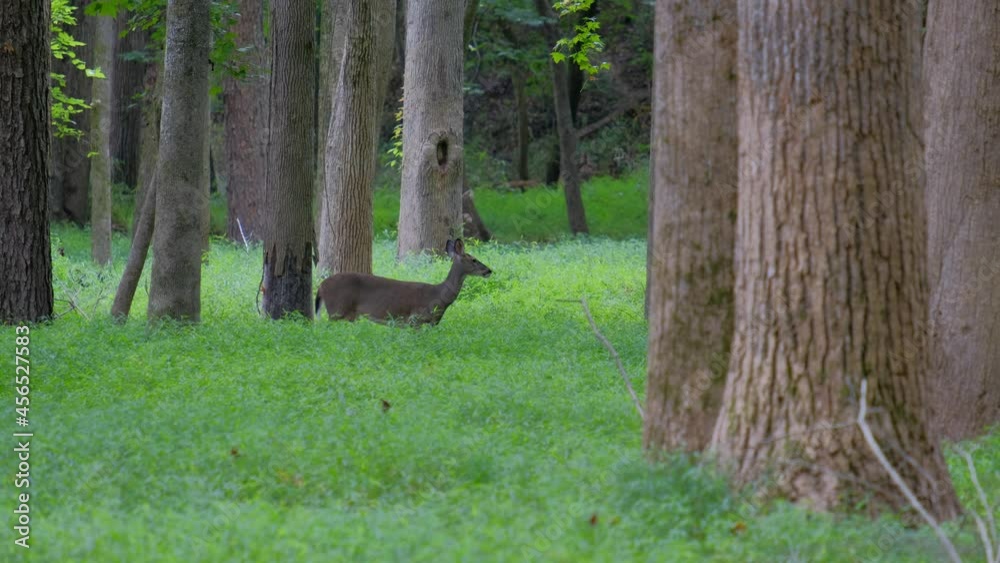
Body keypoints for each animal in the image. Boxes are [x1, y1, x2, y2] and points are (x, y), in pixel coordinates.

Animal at [314, 239, 492, 326]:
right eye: (474, 260)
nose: (489, 270)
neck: (438, 298)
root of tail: (321, 286)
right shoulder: (415, 319)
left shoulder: (431, 324)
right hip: (337, 311)